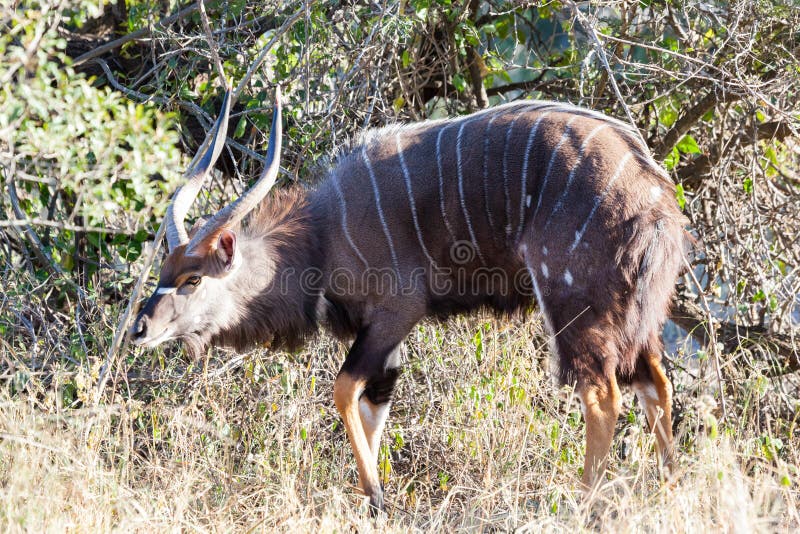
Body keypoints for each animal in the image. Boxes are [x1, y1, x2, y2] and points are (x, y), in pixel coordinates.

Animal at [130, 87, 690, 511]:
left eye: (192, 280)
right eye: (163, 272)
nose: (139, 328)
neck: (323, 236)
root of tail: (654, 192)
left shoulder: (395, 314)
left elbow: (343, 389)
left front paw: (377, 498)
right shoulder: (386, 339)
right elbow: (374, 405)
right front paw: (371, 499)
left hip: (575, 307)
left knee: (602, 395)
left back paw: (583, 503)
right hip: (639, 316)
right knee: (655, 385)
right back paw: (669, 490)